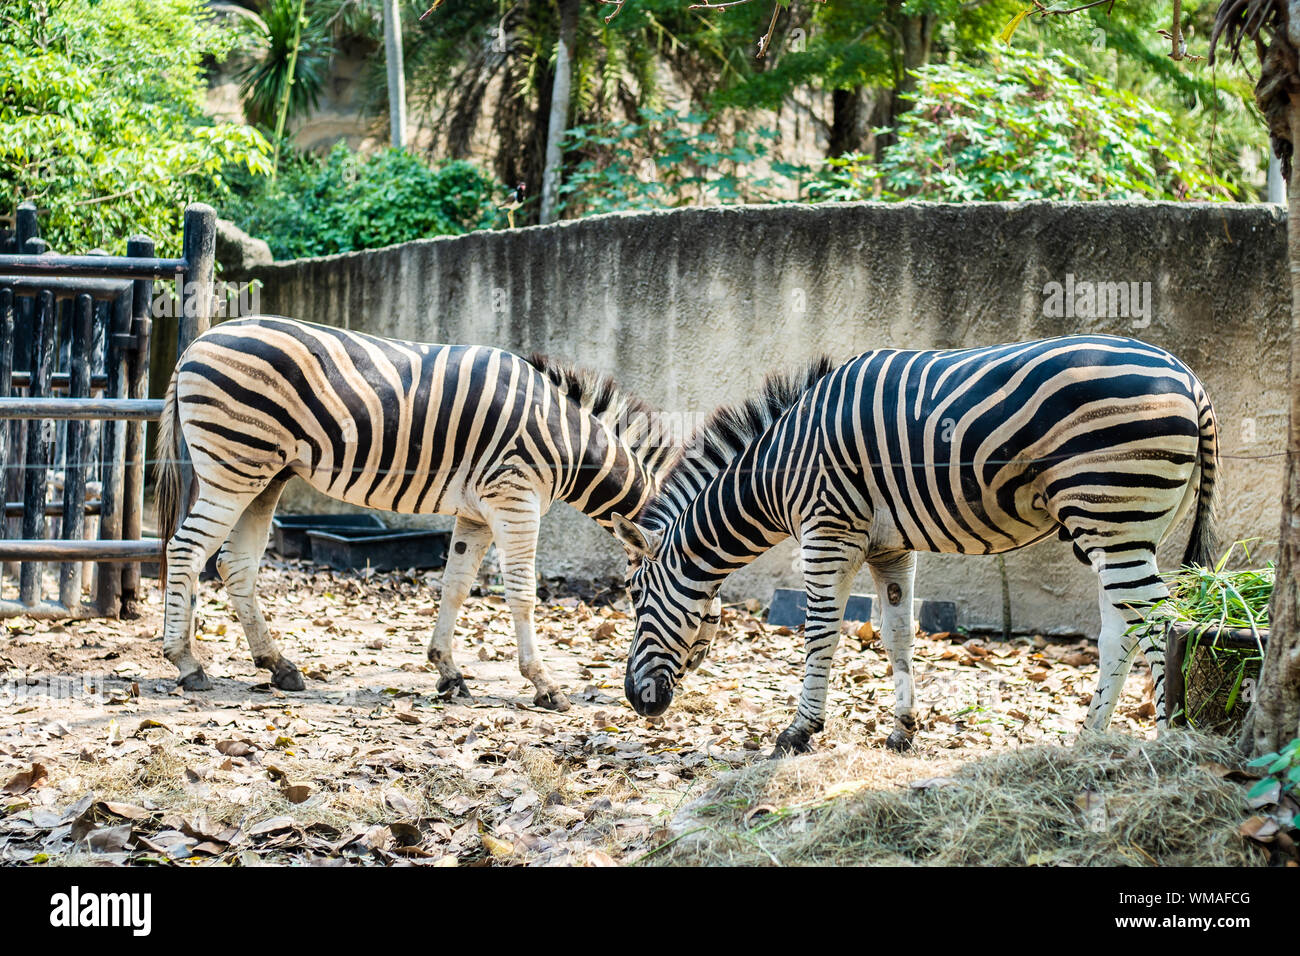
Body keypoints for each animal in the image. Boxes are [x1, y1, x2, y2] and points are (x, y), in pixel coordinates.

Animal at [155, 316, 675, 711]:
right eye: (634, 594)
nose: (649, 701)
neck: (567, 439)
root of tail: (198, 342)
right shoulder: (514, 497)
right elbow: (522, 594)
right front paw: (544, 685)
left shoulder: (477, 512)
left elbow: (456, 586)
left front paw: (448, 671)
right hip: (234, 464)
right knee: (186, 550)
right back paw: (187, 663)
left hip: (266, 474)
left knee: (234, 563)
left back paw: (278, 666)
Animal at [611, 335, 1219, 755]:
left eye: (636, 597)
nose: (635, 701)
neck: (780, 472)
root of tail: (1189, 378)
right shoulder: (890, 547)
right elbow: (897, 634)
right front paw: (902, 731)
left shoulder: (827, 533)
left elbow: (821, 633)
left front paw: (798, 732)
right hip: (1128, 527)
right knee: (1124, 627)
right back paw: (1090, 738)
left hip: (1110, 512)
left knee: (1158, 620)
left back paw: (1165, 743)